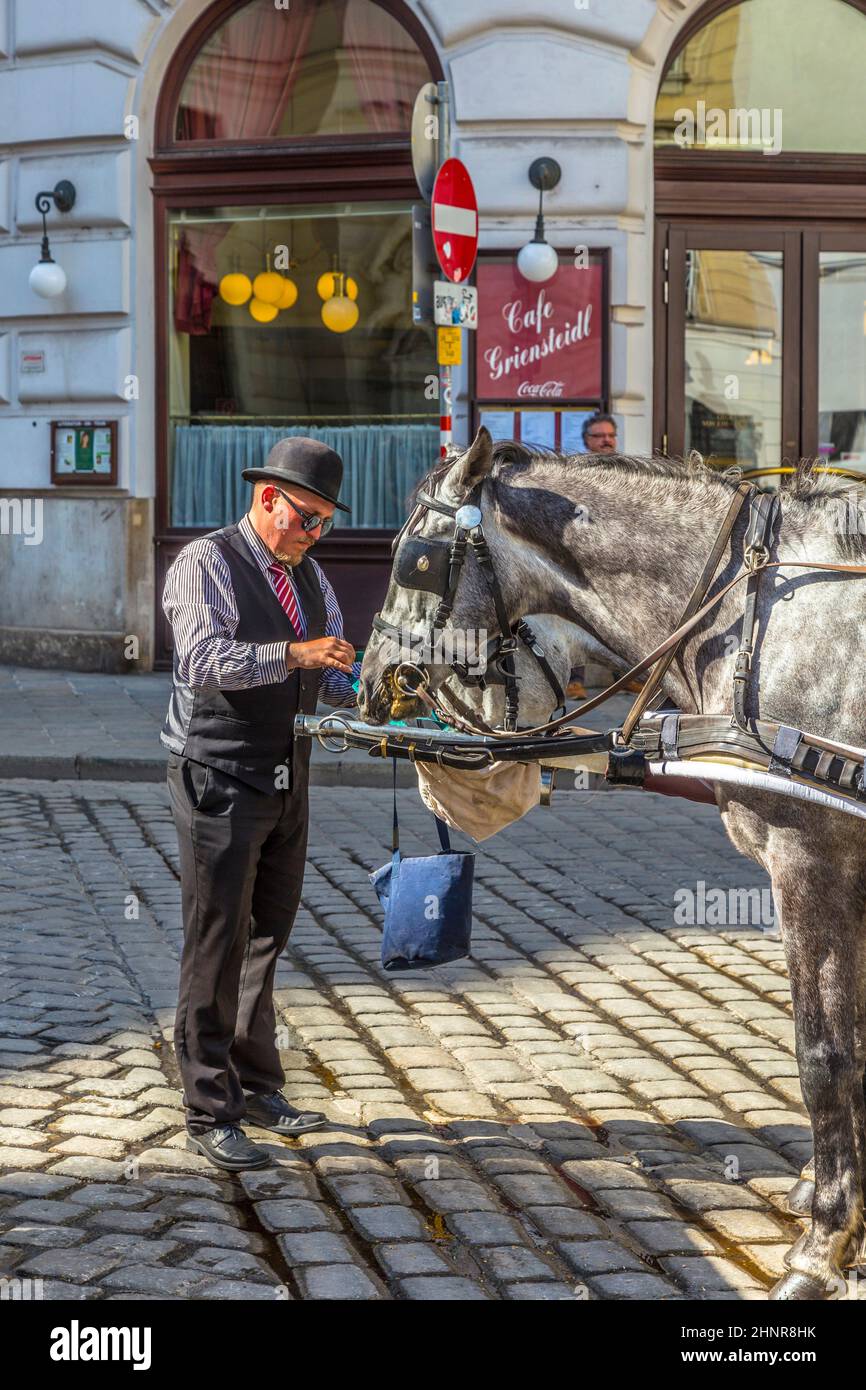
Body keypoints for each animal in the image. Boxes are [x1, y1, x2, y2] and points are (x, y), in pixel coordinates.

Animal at [358, 426, 866, 1300]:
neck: (753, 618)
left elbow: (825, 1055)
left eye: (413, 560)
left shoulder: (814, 861)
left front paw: (822, 1245)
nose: (365, 682)